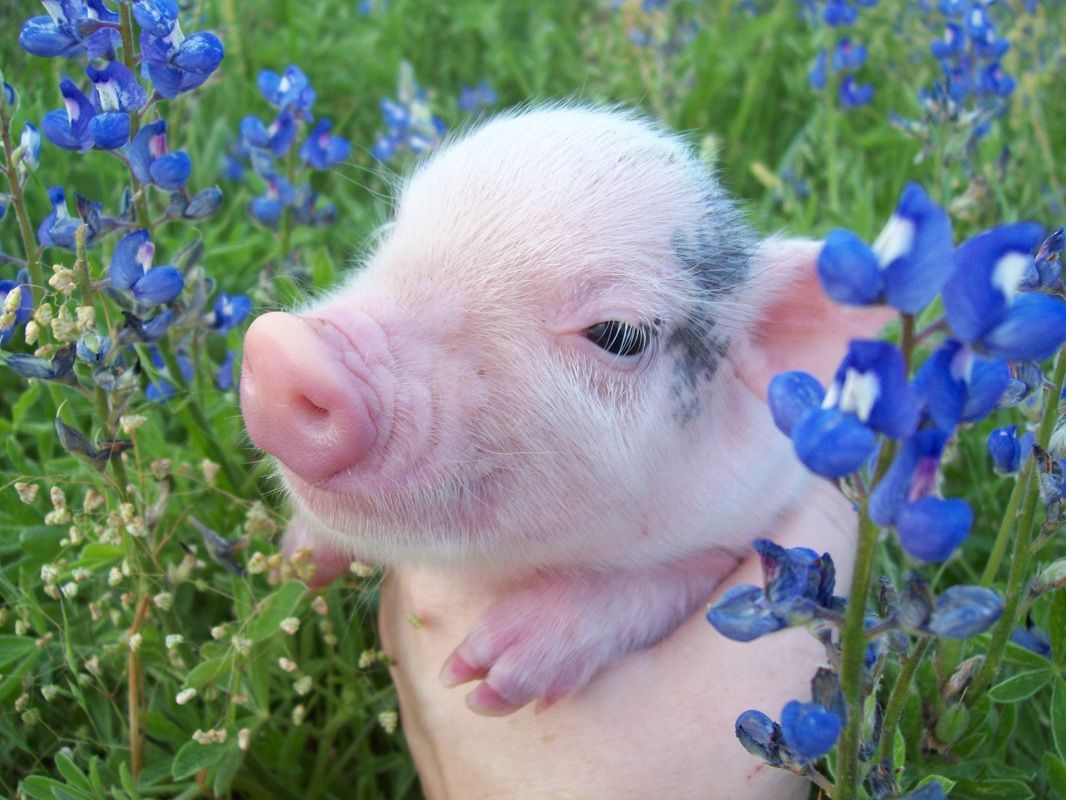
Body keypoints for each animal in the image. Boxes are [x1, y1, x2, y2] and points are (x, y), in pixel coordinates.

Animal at [240, 105, 879, 721]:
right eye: (388, 232)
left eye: (618, 334)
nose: (283, 353)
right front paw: (288, 564)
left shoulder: (760, 511)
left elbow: (678, 577)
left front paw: (484, 675)